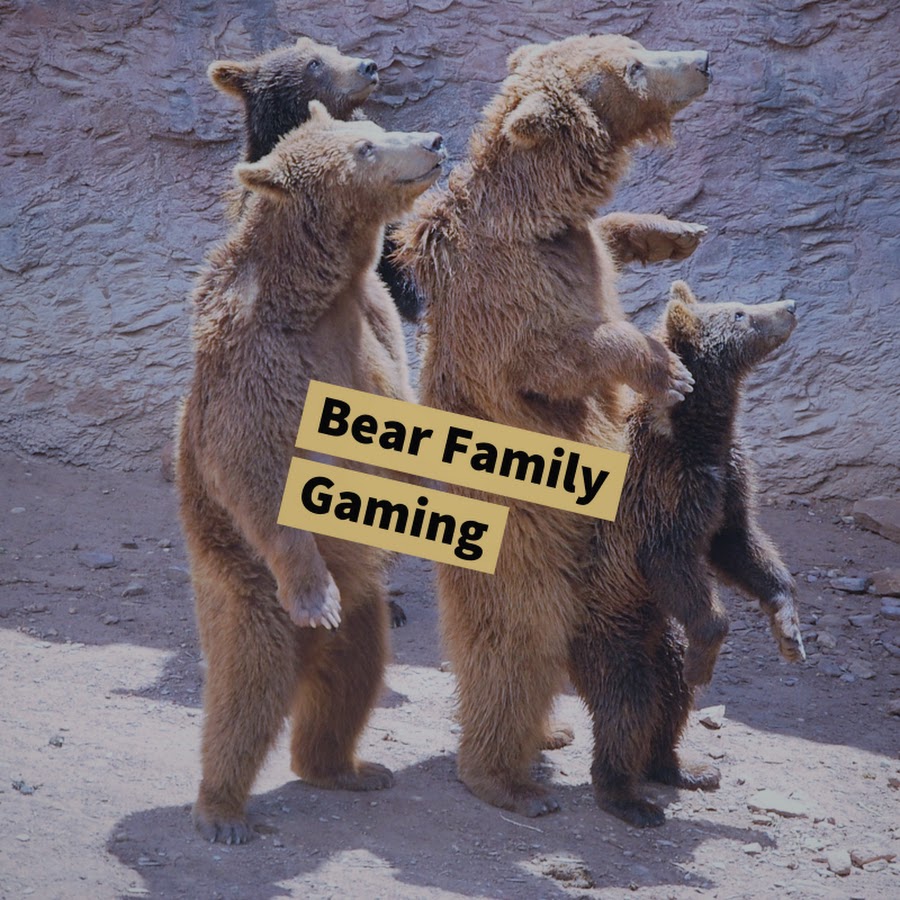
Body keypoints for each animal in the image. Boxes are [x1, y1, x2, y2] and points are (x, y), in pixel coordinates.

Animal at [175, 101, 446, 843]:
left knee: (352, 677)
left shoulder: (375, 322)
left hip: (363, 607)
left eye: (374, 126)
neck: (318, 292)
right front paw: (312, 590)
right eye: (364, 148)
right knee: (248, 686)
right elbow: (254, 462)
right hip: (241, 581)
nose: (434, 139)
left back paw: (346, 767)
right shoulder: (256, 351)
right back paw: (221, 809)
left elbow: (406, 411)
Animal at [392, 33, 710, 818]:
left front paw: (676, 230)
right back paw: (507, 779)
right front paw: (667, 367)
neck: (540, 218)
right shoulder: (511, 293)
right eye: (635, 67)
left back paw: (567, 739)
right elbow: (559, 357)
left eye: (635, 45)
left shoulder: (575, 245)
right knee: (513, 650)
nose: (703, 61)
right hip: (528, 547)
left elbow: (610, 235)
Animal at [569, 280, 804, 828]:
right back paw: (627, 797)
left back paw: (682, 766)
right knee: (629, 700)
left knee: (671, 693)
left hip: (658, 631)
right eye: (739, 312)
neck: (698, 432)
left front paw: (789, 630)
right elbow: (673, 563)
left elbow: (740, 545)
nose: (789, 305)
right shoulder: (660, 492)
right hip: (607, 625)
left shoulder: (726, 477)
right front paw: (709, 660)